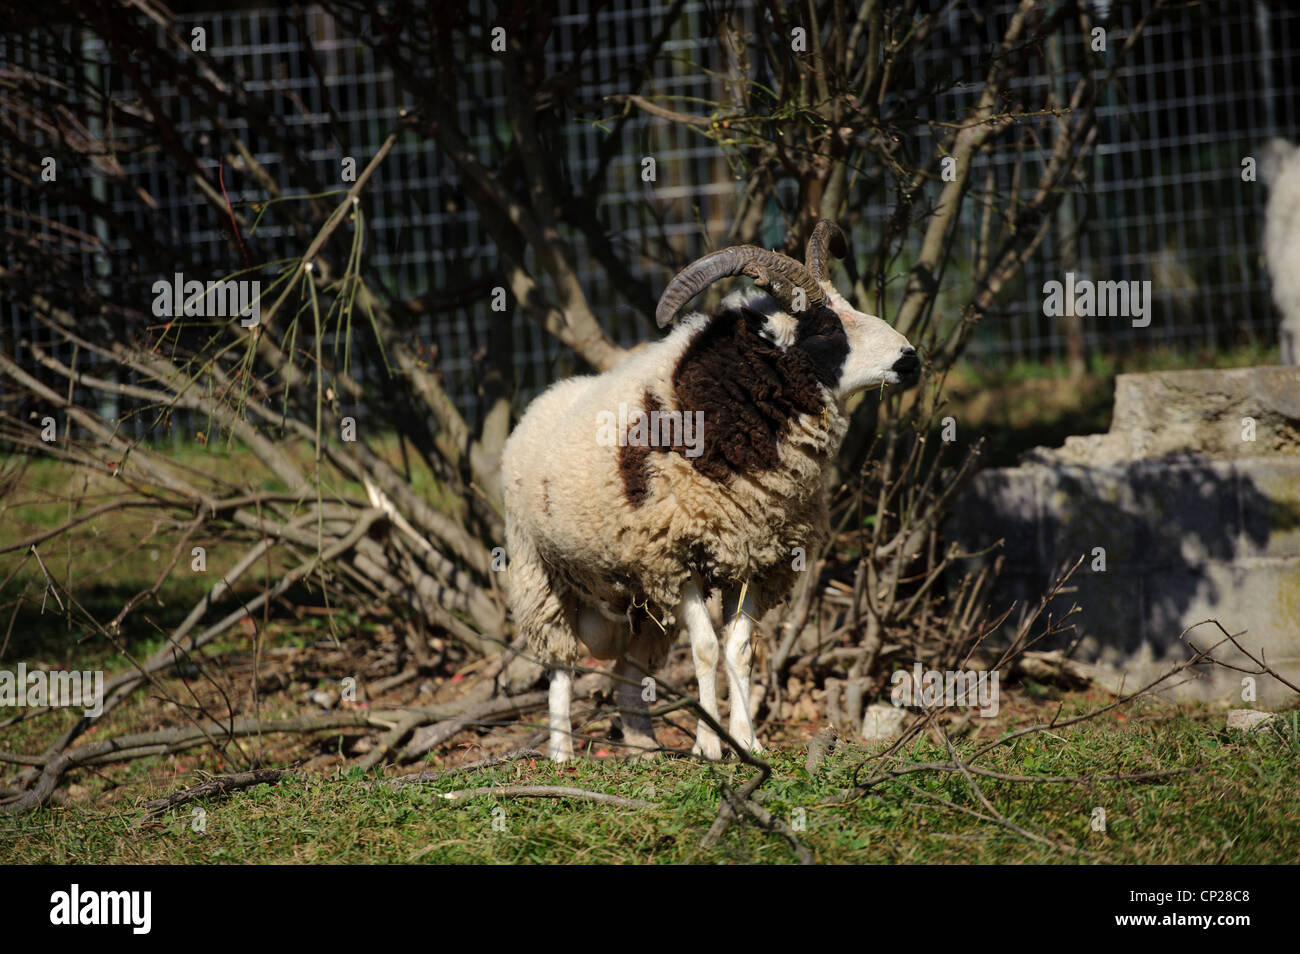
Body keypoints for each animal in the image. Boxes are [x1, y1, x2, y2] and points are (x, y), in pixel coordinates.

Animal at [501, 222, 919, 761]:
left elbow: (738, 649)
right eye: (826, 329)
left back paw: (643, 747)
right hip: (538, 572)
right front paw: (709, 746)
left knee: (628, 669)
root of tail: (545, 399)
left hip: (637, 598)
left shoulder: (758, 556)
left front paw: (747, 741)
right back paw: (561, 754)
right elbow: (705, 648)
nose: (910, 358)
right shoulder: (675, 556)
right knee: (560, 667)